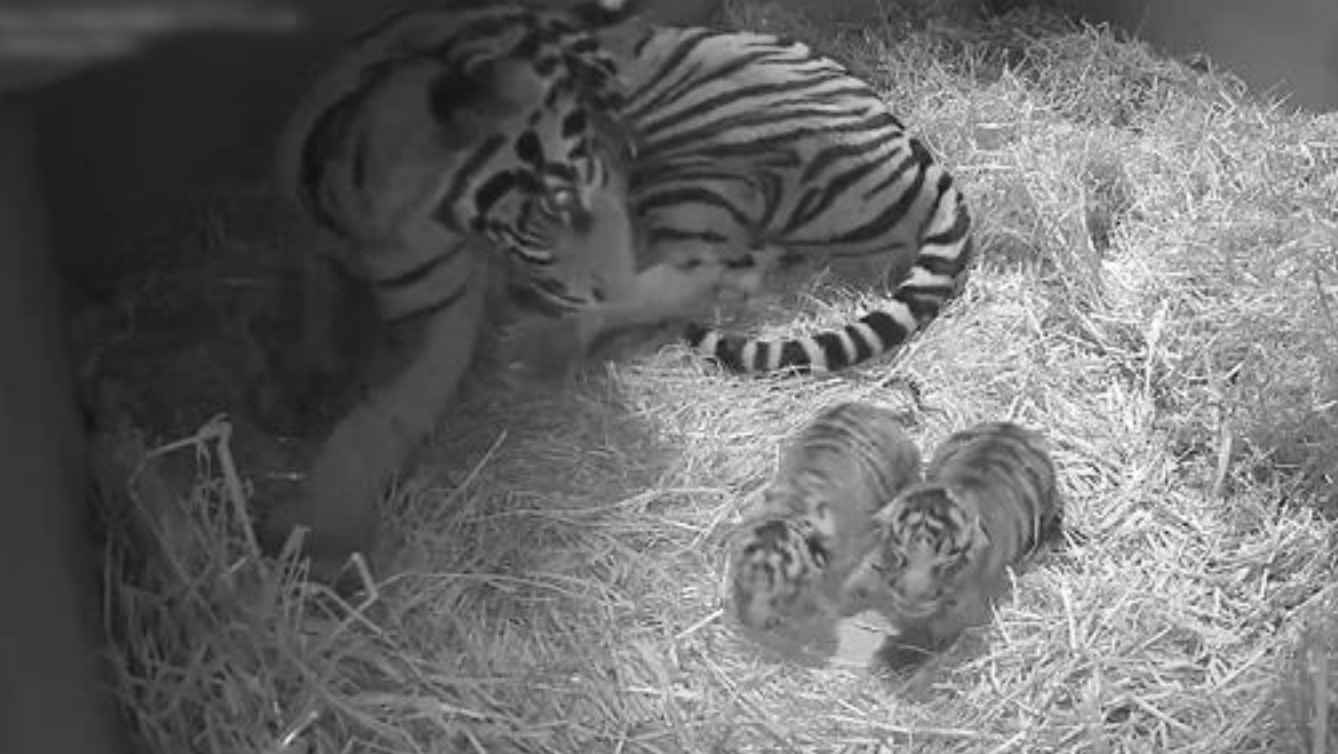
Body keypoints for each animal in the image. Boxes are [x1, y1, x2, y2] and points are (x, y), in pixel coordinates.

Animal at [839, 421, 1063, 671]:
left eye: (947, 561)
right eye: (901, 553)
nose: (912, 599)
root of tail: (1010, 426)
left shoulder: (961, 613)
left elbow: (928, 639)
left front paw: (892, 655)